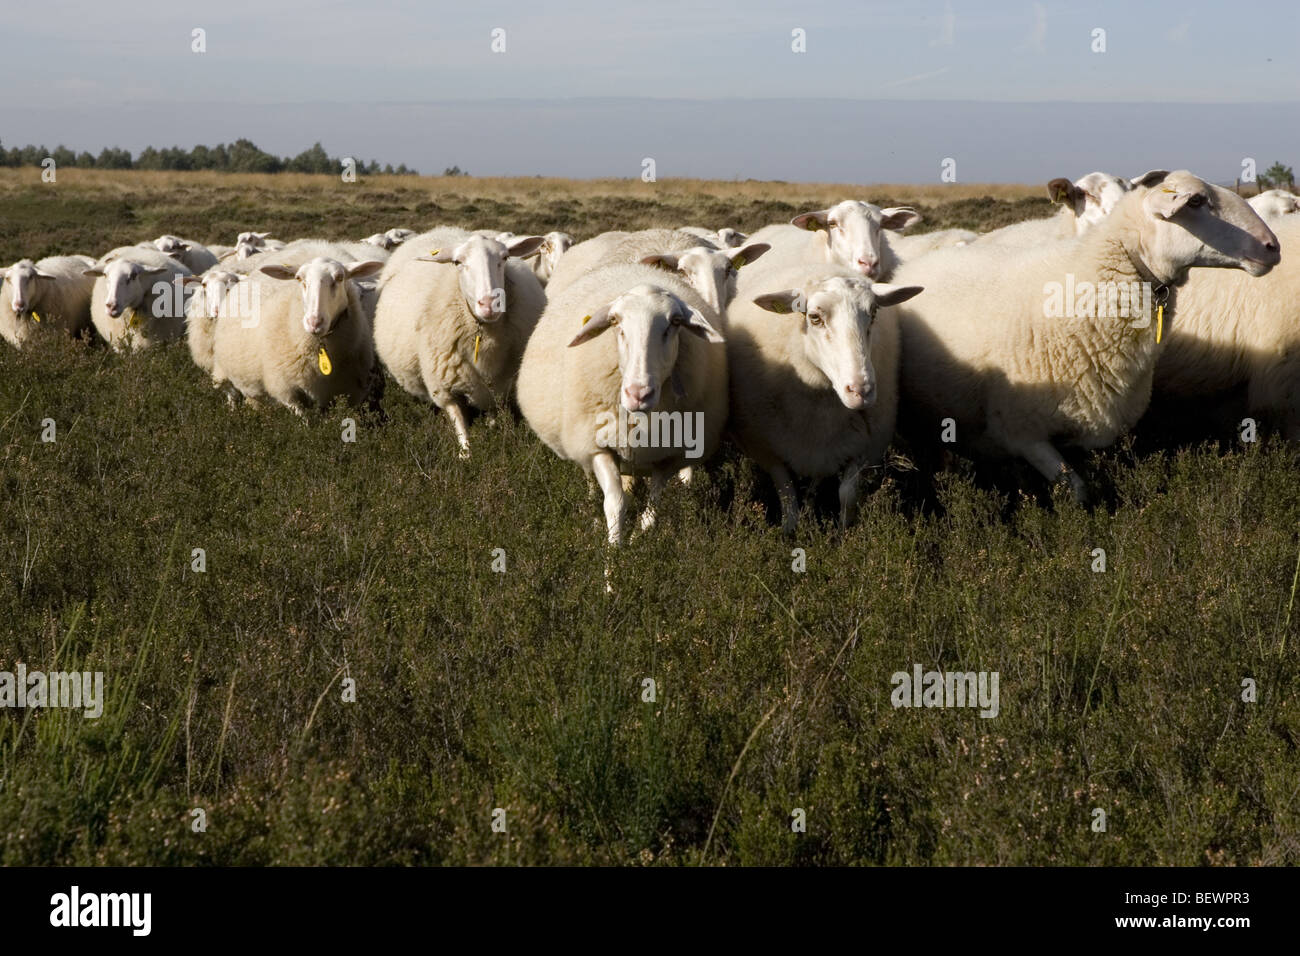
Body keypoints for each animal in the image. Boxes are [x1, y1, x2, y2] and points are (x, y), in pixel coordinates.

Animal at [210, 256, 384, 414]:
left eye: (340, 277)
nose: (314, 322)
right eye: (299, 278)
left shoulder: (354, 390)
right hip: (223, 374)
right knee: (232, 395)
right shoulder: (288, 392)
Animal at [372, 229, 547, 456]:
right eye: (458, 262)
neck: (485, 338)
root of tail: (440, 230)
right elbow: (461, 427)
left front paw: (491, 433)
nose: (489, 303)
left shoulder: (500, 388)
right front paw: (466, 455)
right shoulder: (445, 389)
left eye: (504, 257)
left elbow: (494, 416)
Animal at [516, 262, 727, 547]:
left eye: (675, 322)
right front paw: (614, 554)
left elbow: (653, 509)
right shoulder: (598, 446)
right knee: (591, 481)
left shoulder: (668, 457)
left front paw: (638, 539)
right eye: (615, 322)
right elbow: (615, 504)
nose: (638, 394)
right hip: (580, 439)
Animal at [727, 262, 922, 535]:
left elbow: (847, 495)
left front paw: (842, 535)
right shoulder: (766, 447)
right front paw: (789, 532)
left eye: (873, 313)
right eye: (815, 318)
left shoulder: (865, 445)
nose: (861, 391)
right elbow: (786, 494)